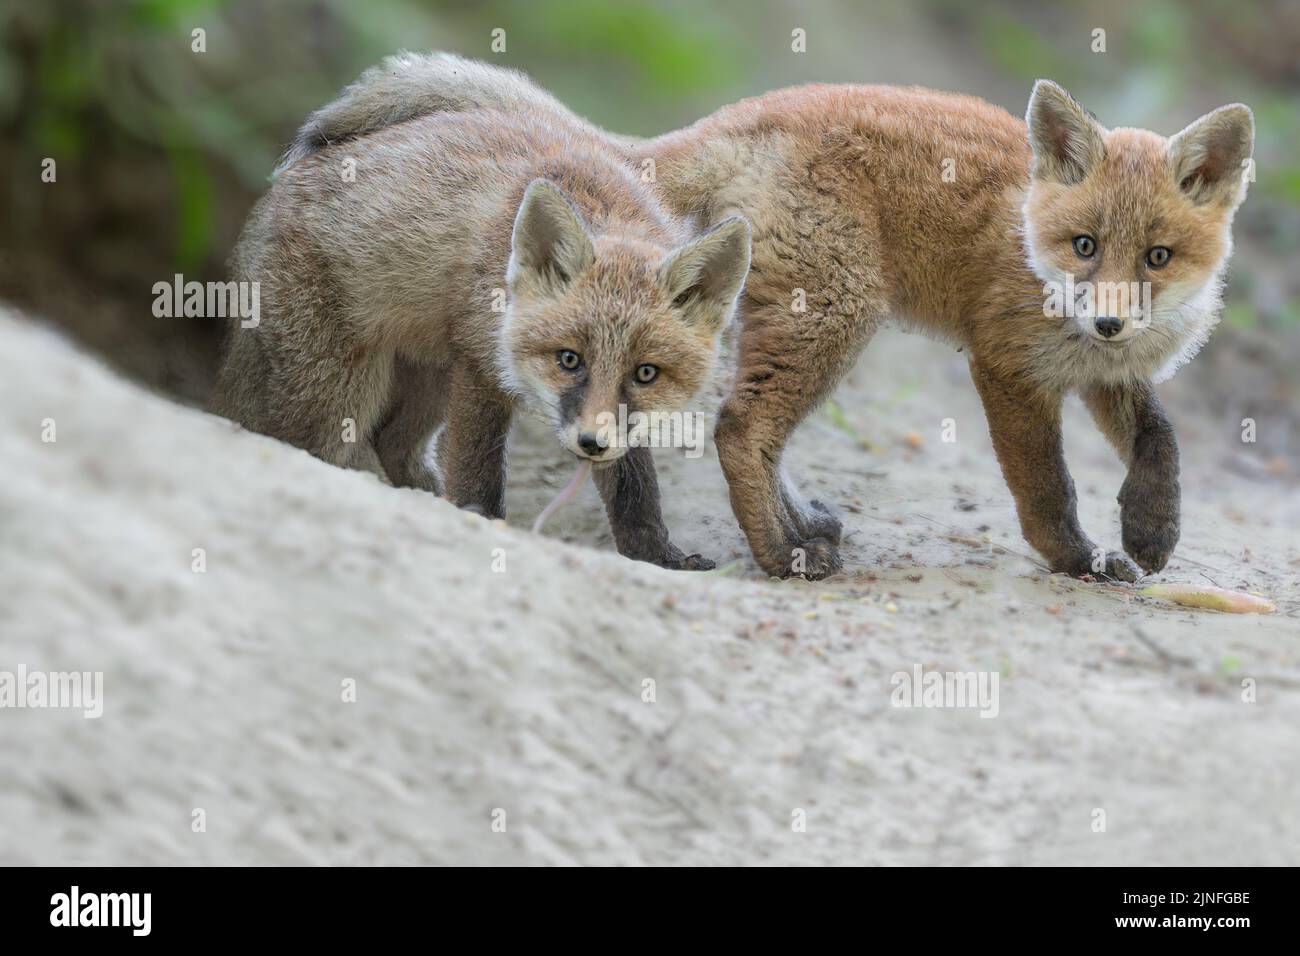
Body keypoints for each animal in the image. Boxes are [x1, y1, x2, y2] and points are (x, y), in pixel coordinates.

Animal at [208, 101, 752, 570]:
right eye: (569, 359)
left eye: (646, 373)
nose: (590, 444)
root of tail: (271, 198)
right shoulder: (480, 362)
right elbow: (479, 469)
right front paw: (482, 523)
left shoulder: (617, 421)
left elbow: (635, 489)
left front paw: (658, 557)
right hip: (337, 394)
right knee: (294, 442)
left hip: (426, 377)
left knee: (394, 442)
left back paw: (425, 500)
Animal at [293, 53, 1255, 582]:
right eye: (1084, 245)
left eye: (1156, 257)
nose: (1108, 323)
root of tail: (745, 114)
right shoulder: (1009, 367)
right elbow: (1048, 488)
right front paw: (1078, 560)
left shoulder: (1106, 371)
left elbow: (1161, 441)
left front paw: (1152, 529)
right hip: (836, 313)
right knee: (740, 426)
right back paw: (780, 556)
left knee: (751, 432)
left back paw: (798, 530)